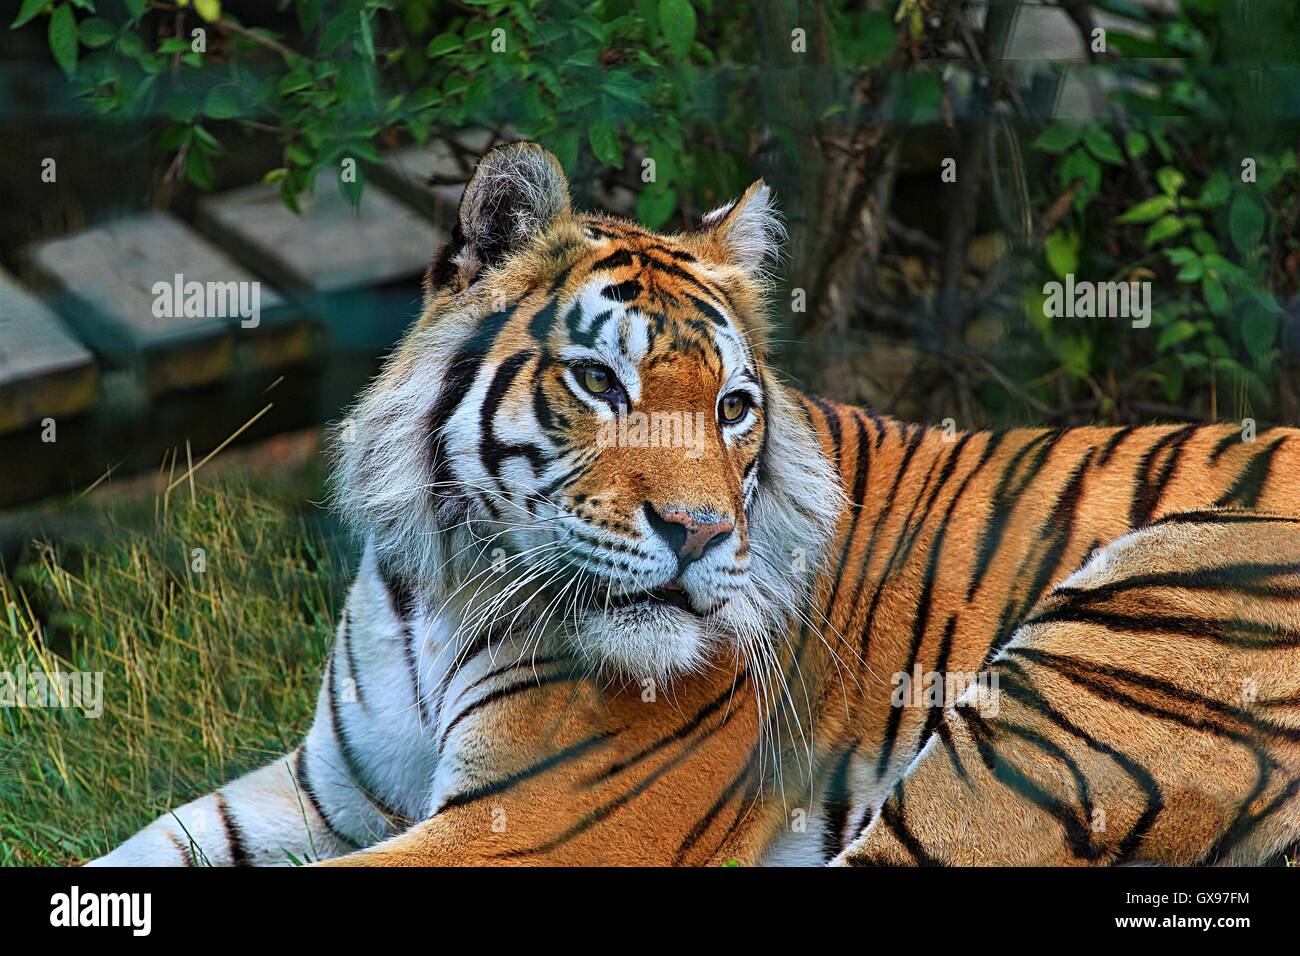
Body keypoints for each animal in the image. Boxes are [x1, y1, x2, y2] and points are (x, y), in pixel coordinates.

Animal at [88, 142, 1300, 867]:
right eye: (597, 381)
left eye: (730, 407)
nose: (701, 533)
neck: (441, 584)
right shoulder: (326, 787)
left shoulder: (530, 822)